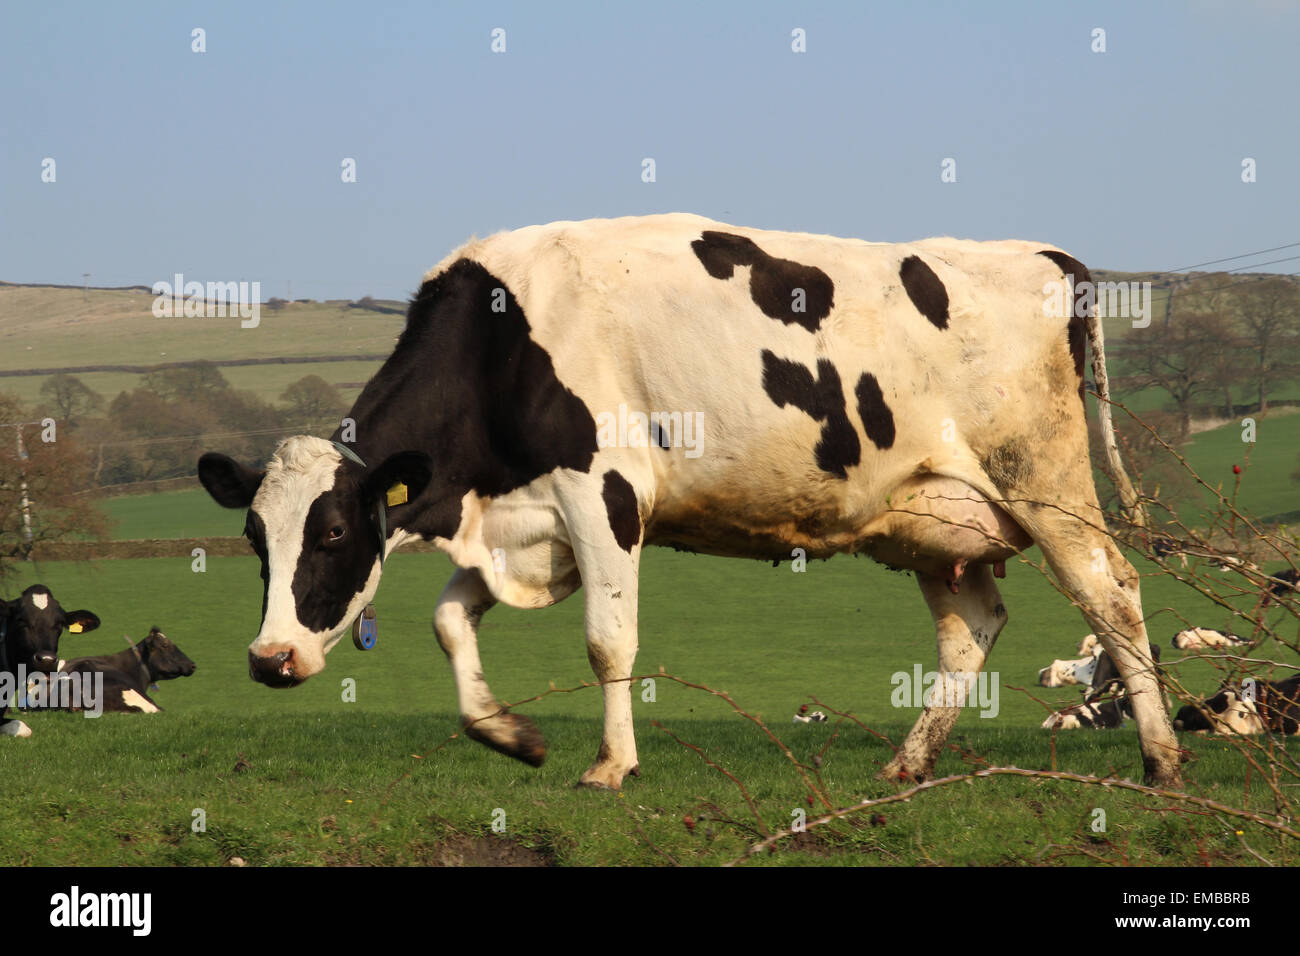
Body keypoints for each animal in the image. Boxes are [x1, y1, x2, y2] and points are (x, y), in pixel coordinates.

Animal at [197, 213, 1181, 788]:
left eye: (331, 531)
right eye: (253, 537)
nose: (269, 659)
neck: (502, 340)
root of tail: (1041, 252)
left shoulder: (603, 495)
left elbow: (608, 640)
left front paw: (611, 766)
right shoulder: (527, 521)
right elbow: (448, 621)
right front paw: (509, 734)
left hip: (1044, 478)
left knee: (1112, 591)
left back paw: (1161, 758)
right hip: (935, 520)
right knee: (972, 626)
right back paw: (908, 764)